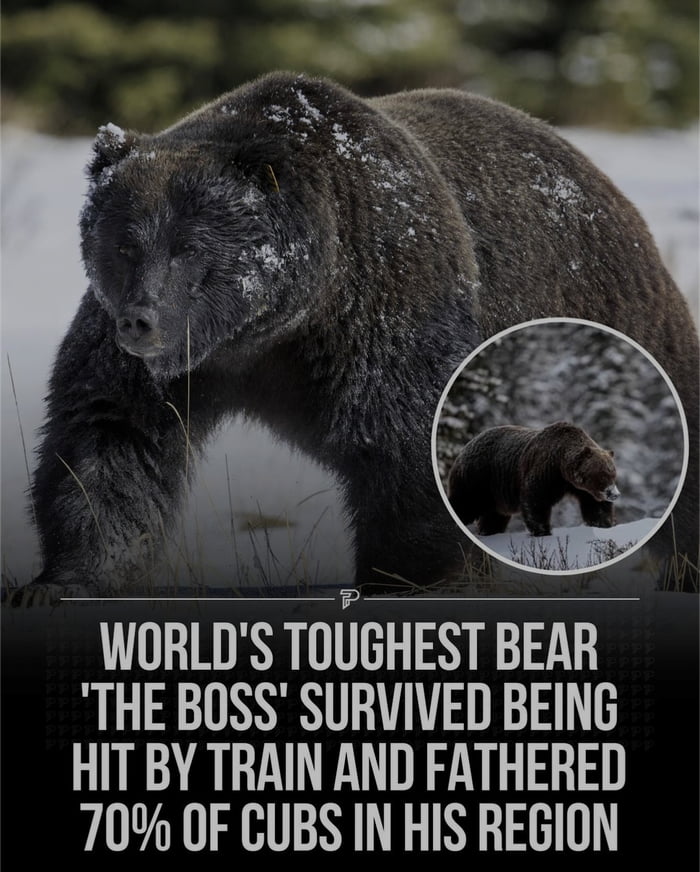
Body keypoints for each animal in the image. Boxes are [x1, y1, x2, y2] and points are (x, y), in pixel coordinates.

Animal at [447, 423, 620, 538]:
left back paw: (488, 531)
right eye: (603, 474)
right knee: (464, 503)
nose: (614, 494)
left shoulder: (581, 488)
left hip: (495, 494)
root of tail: (464, 448)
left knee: (494, 516)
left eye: (613, 474)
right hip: (478, 478)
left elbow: (595, 506)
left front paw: (603, 524)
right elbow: (536, 499)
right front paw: (543, 531)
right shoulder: (545, 471)